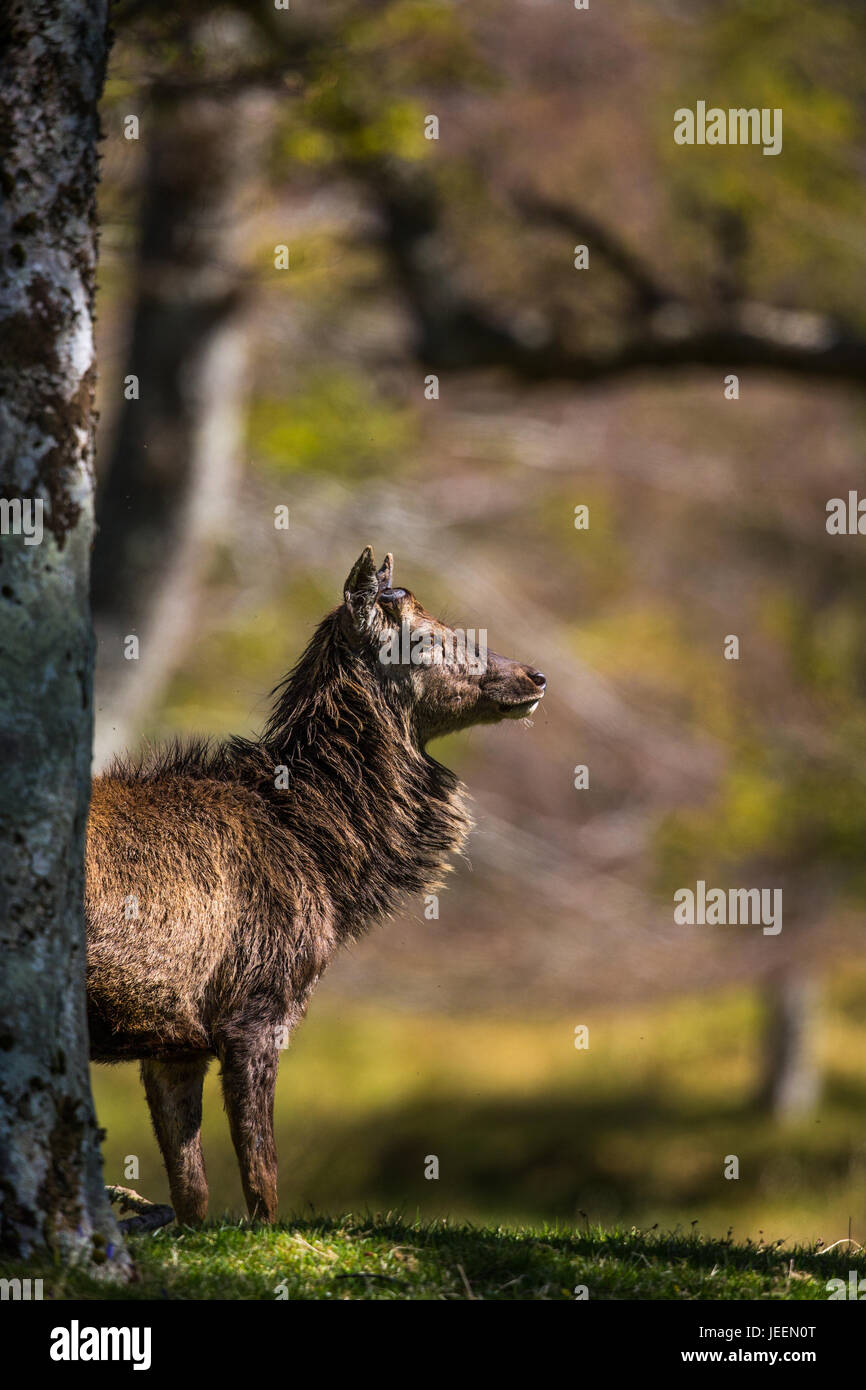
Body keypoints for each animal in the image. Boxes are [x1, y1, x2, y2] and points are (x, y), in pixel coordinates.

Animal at [85, 547, 547, 1224]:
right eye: (429, 637)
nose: (536, 677)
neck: (322, 855)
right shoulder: (258, 1002)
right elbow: (262, 1180)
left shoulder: (174, 1036)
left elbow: (191, 1192)